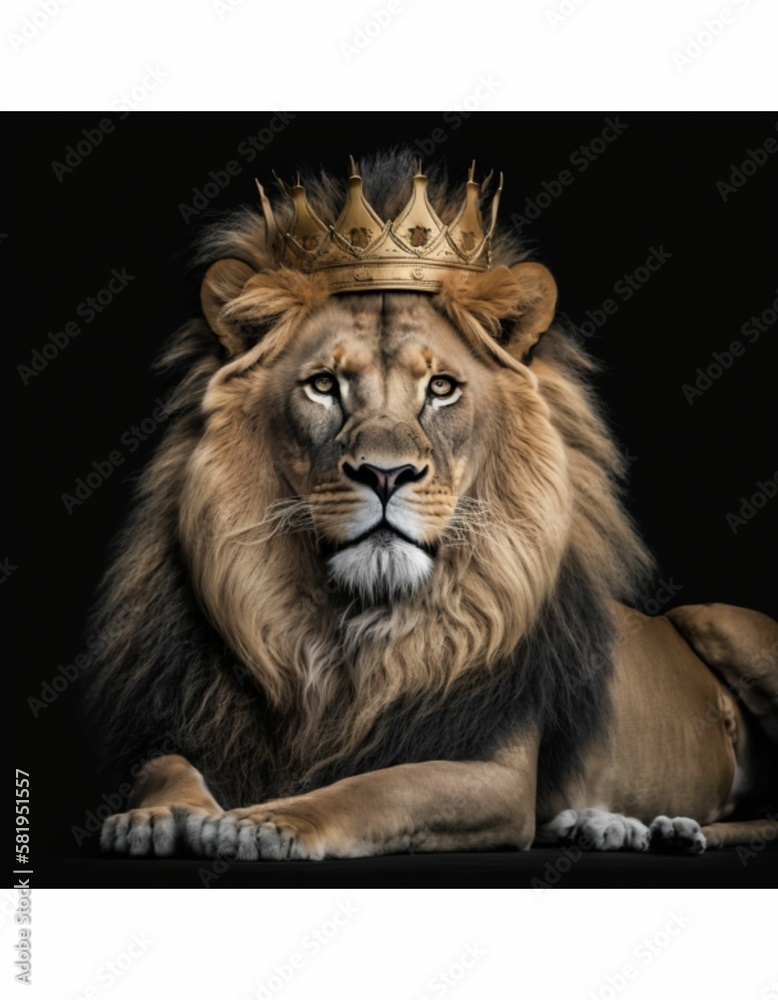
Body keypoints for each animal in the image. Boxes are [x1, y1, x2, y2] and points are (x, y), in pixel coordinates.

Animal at [89, 150, 778, 861]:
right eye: (323, 385)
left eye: (442, 388)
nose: (385, 473)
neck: (352, 631)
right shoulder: (198, 719)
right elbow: (163, 765)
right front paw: (153, 815)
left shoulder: (497, 775)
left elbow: (374, 787)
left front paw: (262, 822)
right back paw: (609, 824)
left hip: (721, 622)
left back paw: (671, 829)